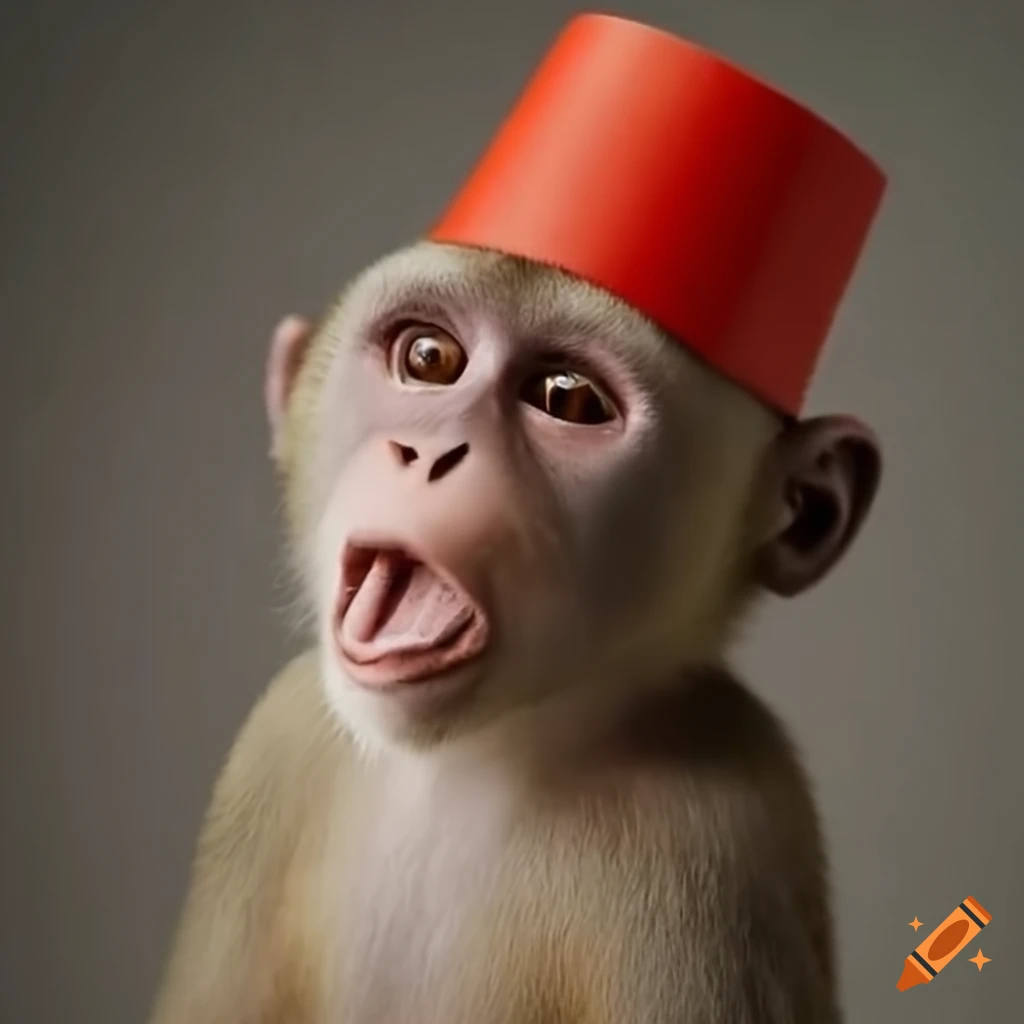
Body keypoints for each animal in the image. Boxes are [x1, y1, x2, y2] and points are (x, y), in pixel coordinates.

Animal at [147, 240, 881, 1024]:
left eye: (568, 399)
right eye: (430, 357)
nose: (428, 454)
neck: (471, 757)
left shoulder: (714, 849)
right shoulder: (277, 740)